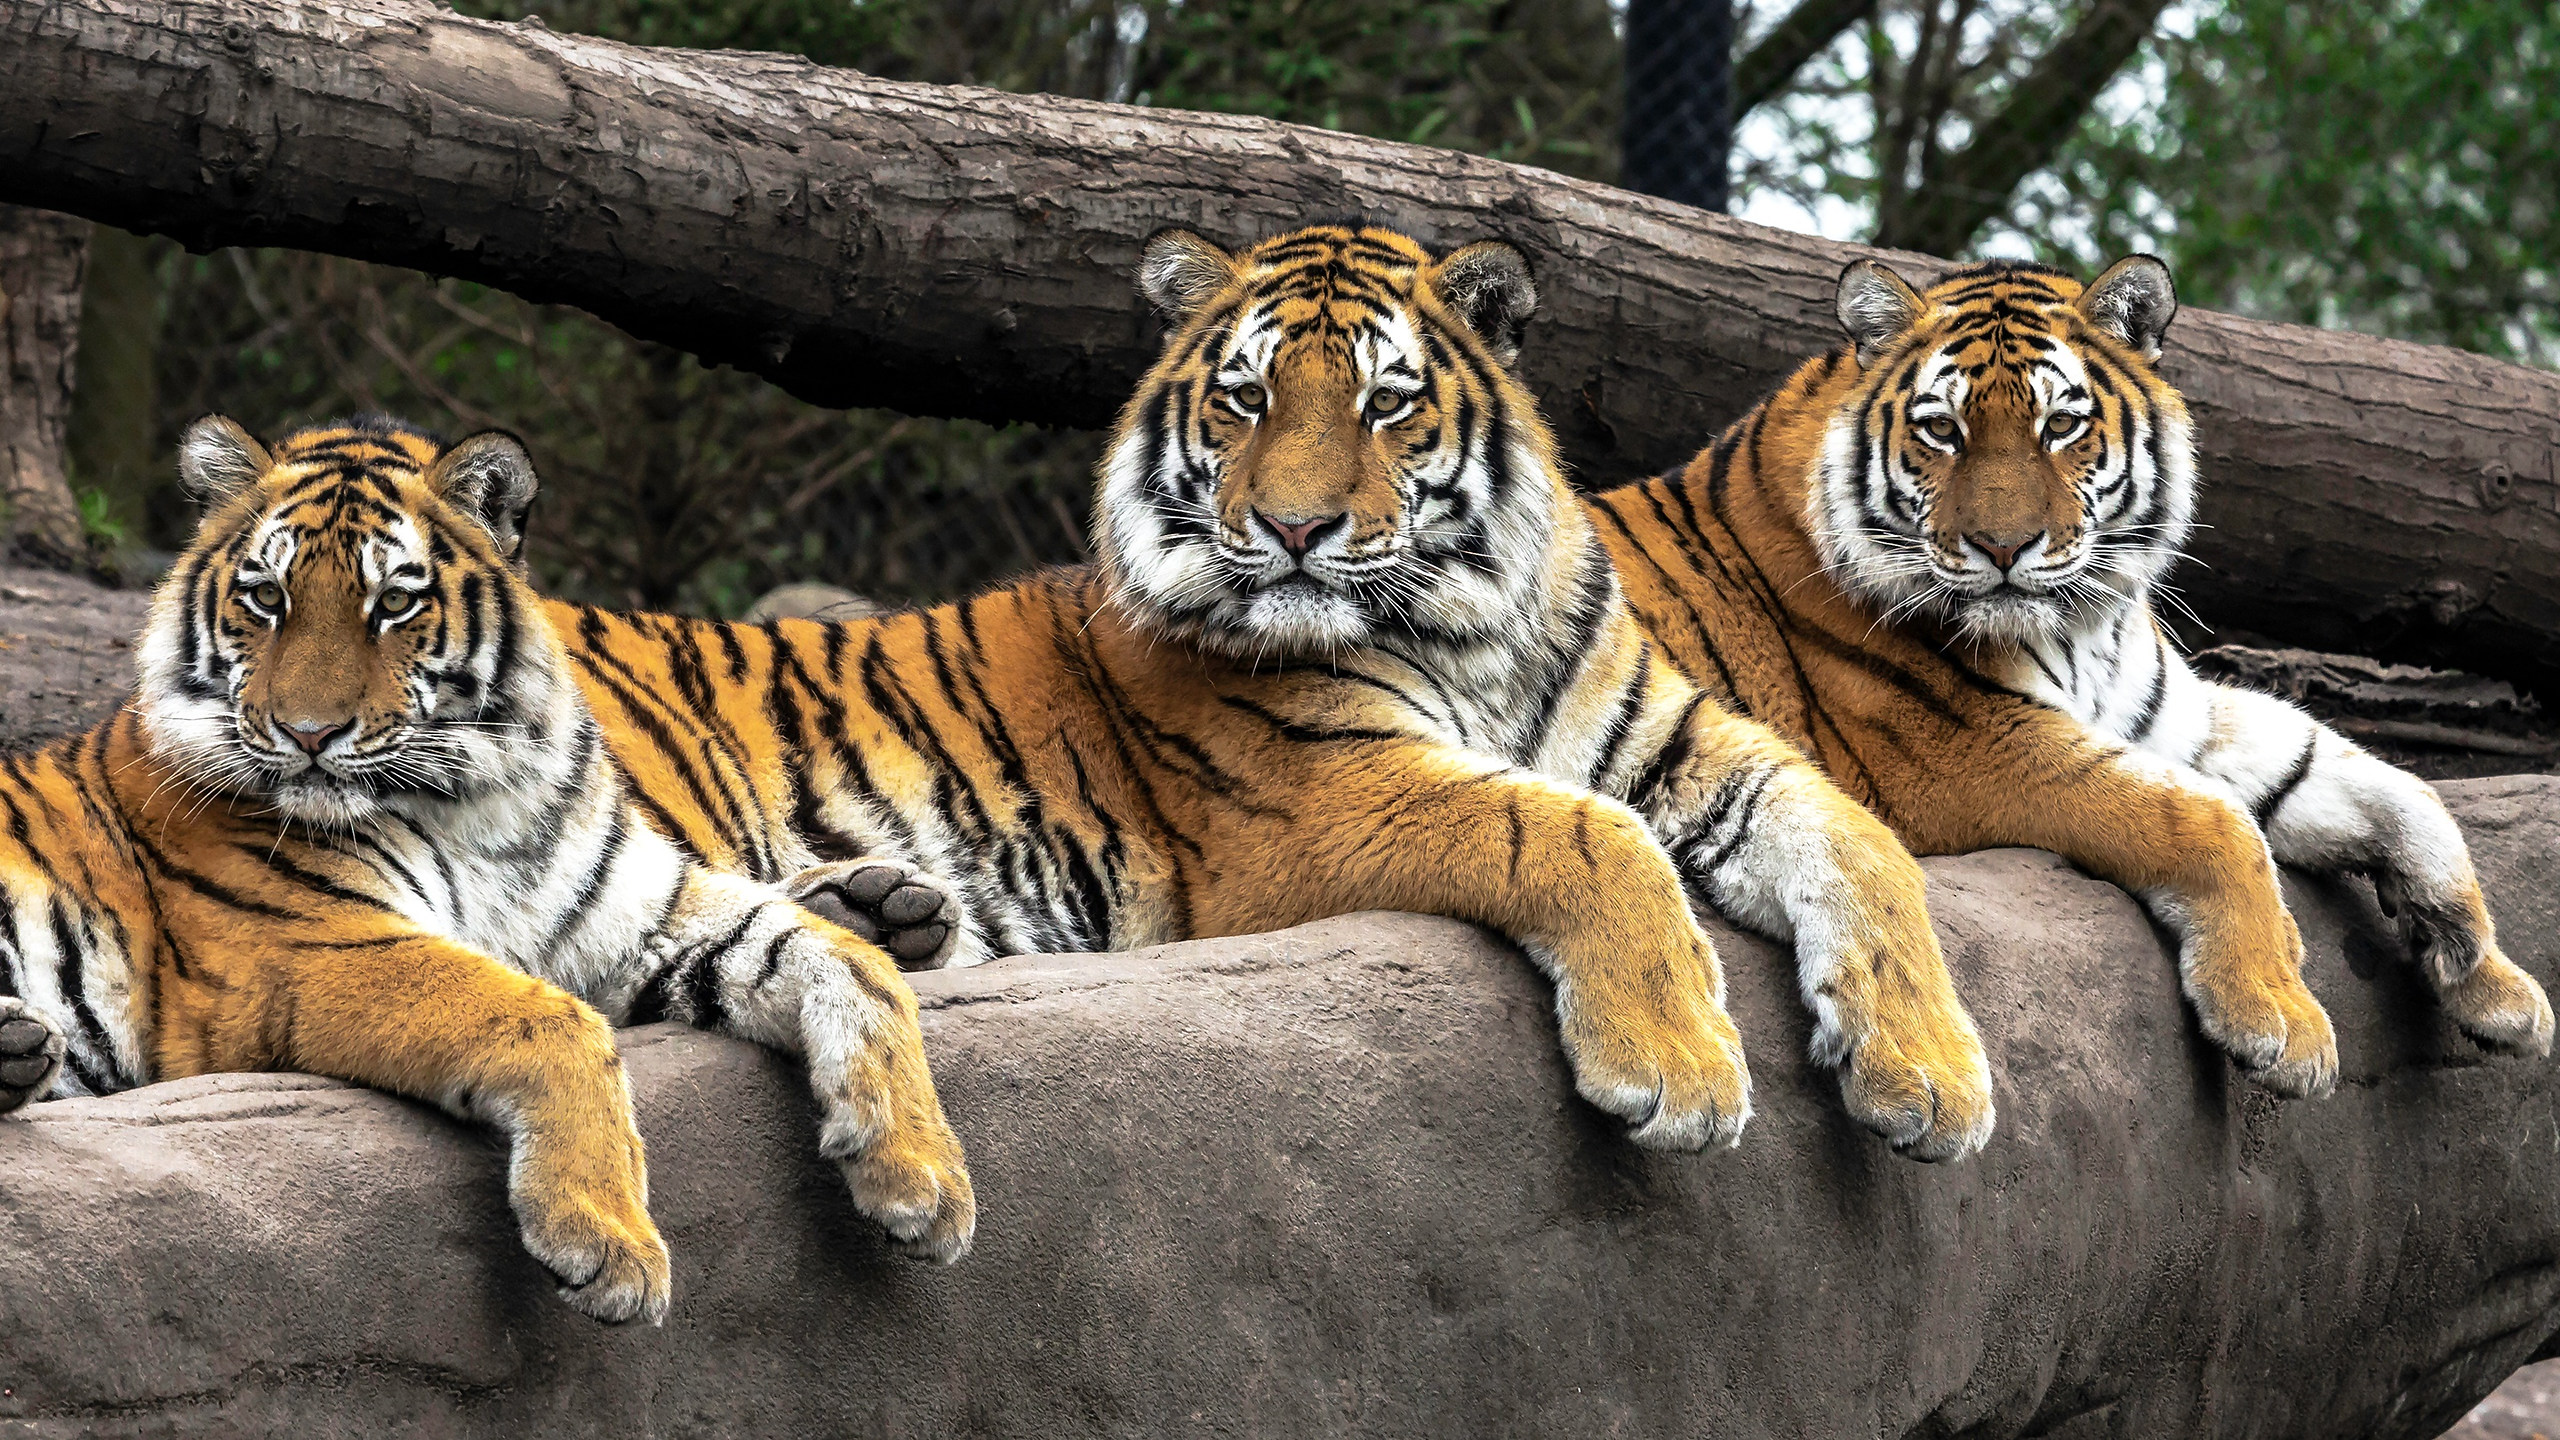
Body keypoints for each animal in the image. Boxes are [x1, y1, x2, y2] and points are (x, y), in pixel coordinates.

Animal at [0, 415, 973, 1325]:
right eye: (266, 597)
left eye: (394, 603)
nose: (308, 735)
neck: (474, 798)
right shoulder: (312, 948)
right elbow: (551, 1022)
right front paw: (607, 1239)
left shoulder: (633, 908)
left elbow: (845, 964)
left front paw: (923, 1173)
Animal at [556, 223, 1995, 1161]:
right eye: (1244, 400)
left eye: (1386, 405)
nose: (1295, 528)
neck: (1478, 625)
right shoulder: (1328, 797)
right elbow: (1578, 833)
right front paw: (1677, 1069)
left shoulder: (1681, 742)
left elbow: (1855, 839)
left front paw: (1930, 1080)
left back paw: (882, 911)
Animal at [1589, 255, 2553, 1099]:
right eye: (1943, 431)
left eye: (2062, 426)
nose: (2003, 546)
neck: (2089, 625)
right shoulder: (1970, 754)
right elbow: (2213, 821)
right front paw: (2281, 1019)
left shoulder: (2173, 716)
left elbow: (2395, 790)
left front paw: (2500, 988)